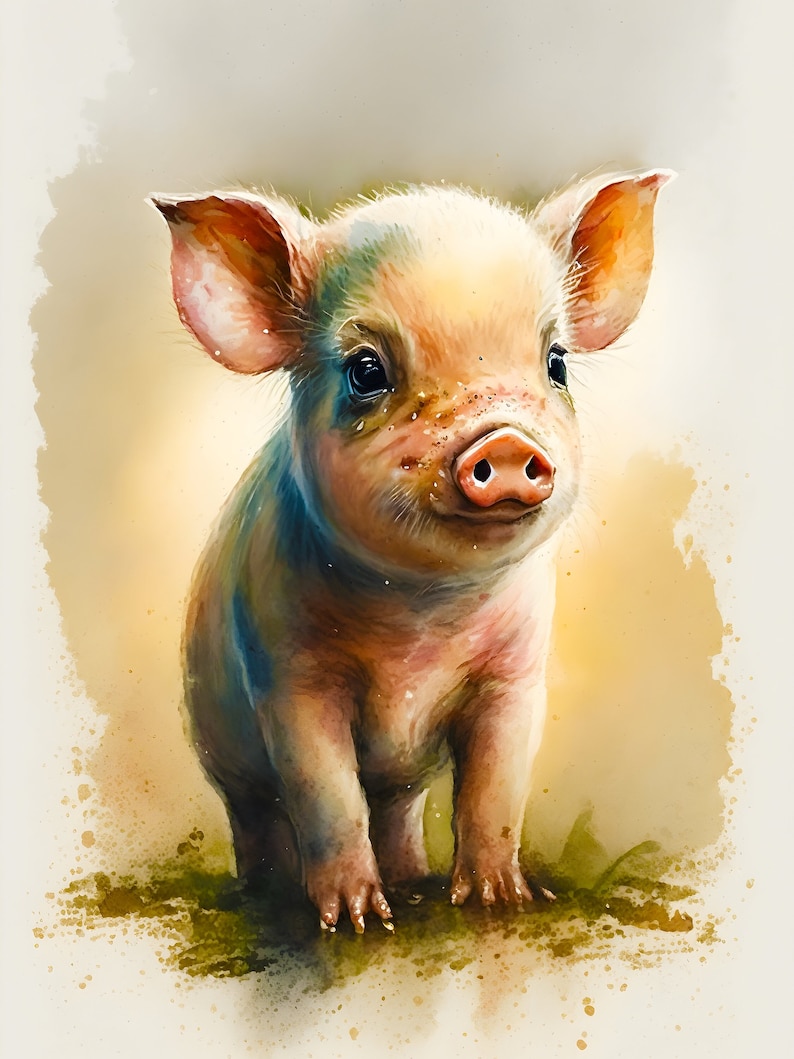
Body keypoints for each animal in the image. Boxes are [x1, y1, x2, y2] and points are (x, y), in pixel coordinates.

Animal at [151, 169, 672, 933]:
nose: (505, 443)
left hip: (397, 783)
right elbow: (326, 794)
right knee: (262, 819)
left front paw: (502, 902)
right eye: (366, 370)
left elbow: (494, 792)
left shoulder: (516, 676)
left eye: (556, 363)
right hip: (224, 754)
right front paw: (357, 922)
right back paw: (270, 893)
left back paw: (415, 879)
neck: (418, 626)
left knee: (397, 808)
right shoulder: (288, 675)